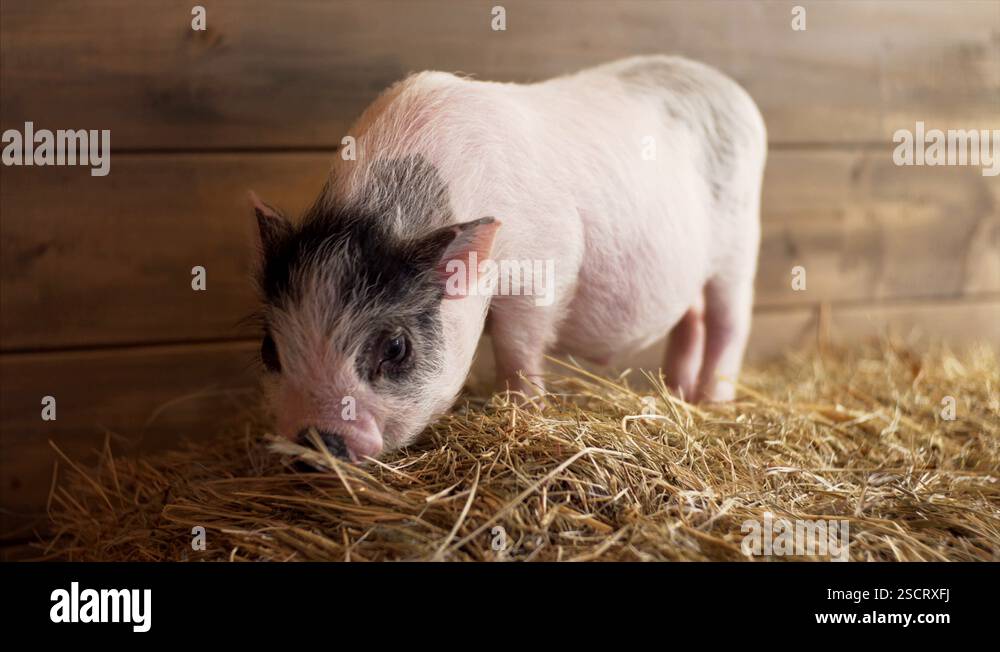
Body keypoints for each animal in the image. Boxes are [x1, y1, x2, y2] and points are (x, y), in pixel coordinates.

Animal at [251, 55, 766, 462]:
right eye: (269, 348)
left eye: (396, 348)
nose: (316, 443)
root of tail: (733, 91)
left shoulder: (546, 262)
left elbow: (517, 347)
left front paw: (527, 412)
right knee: (691, 318)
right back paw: (677, 393)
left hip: (740, 239)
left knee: (731, 322)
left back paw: (712, 402)